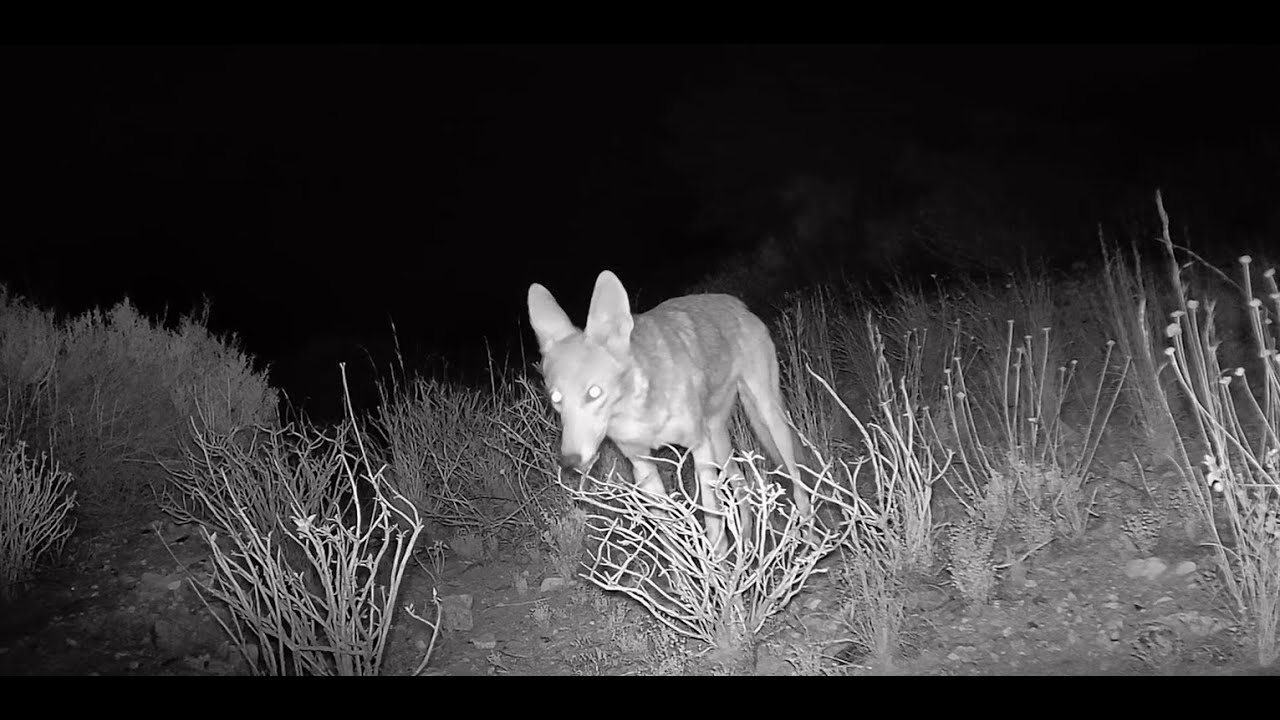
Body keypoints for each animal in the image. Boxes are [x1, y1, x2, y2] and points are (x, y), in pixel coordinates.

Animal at [526, 269, 811, 553]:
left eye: (594, 393)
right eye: (556, 399)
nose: (569, 461)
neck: (638, 414)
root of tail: (736, 302)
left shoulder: (698, 446)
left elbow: (713, 521)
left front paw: (717, 562)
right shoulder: (642, 466)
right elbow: (669, 537)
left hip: (767, 418)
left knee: (796, 479)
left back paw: (809, 537)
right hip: (719, 442)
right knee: (742, 489)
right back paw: (747, 544)